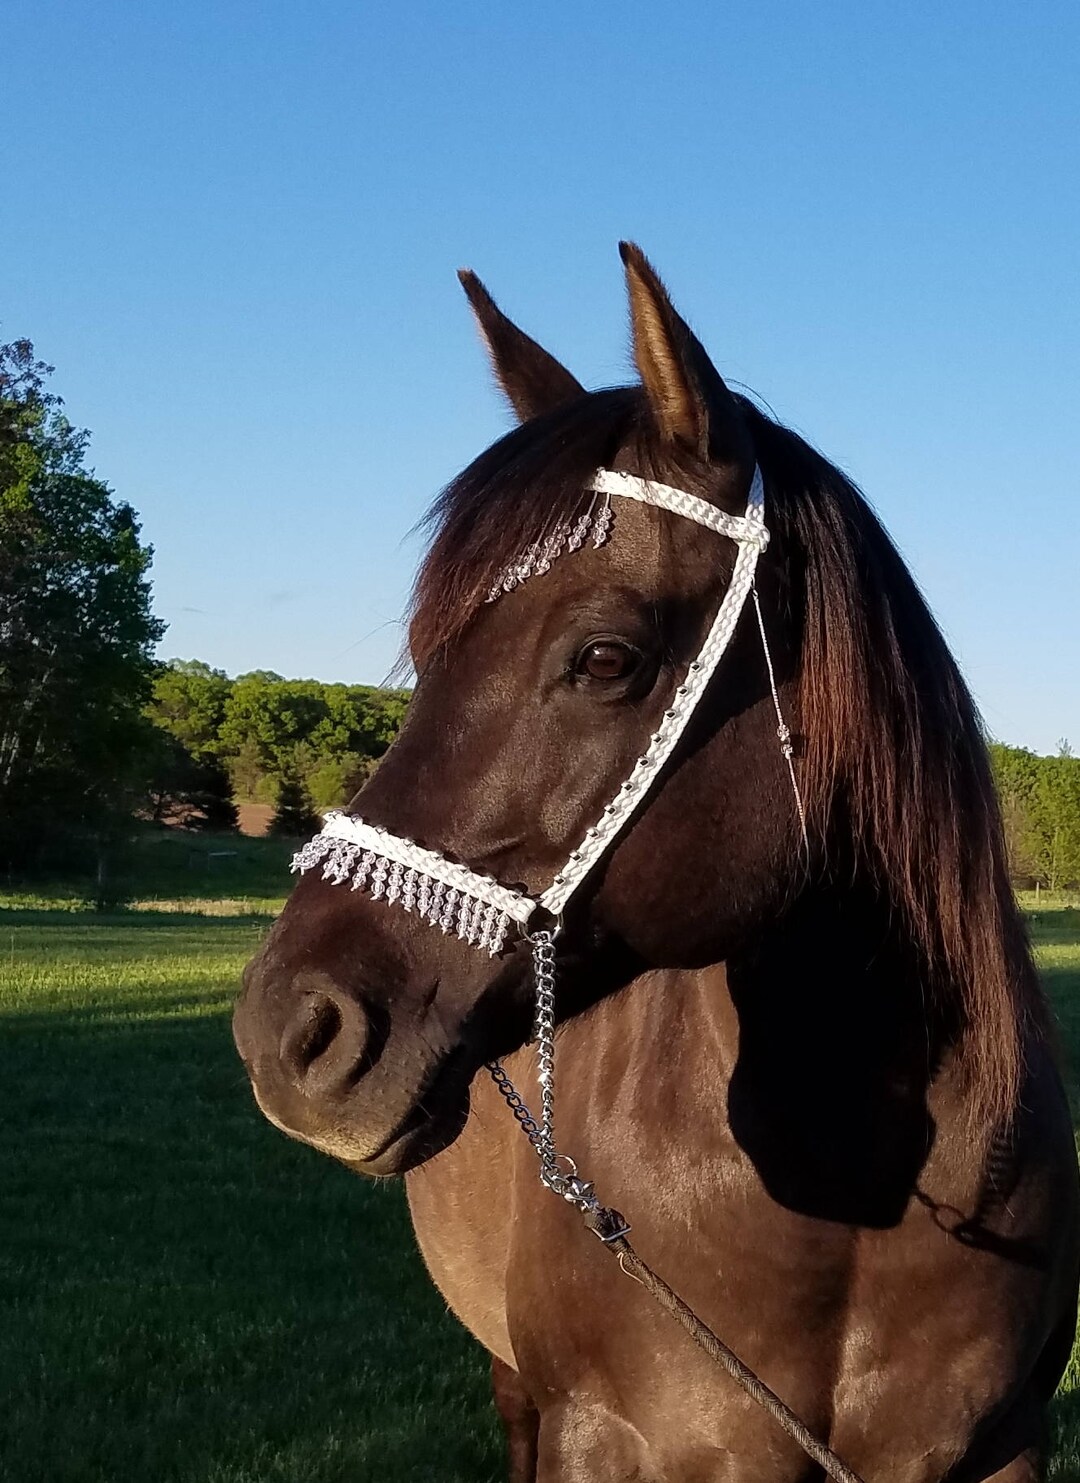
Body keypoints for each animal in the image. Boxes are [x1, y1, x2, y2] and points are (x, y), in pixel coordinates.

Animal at [233, 243, 1080, 1483]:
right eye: (428, 657)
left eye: (604, 657)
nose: (288, 1028)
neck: (852, 1183)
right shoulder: (599, 1437)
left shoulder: (1006, 1446)